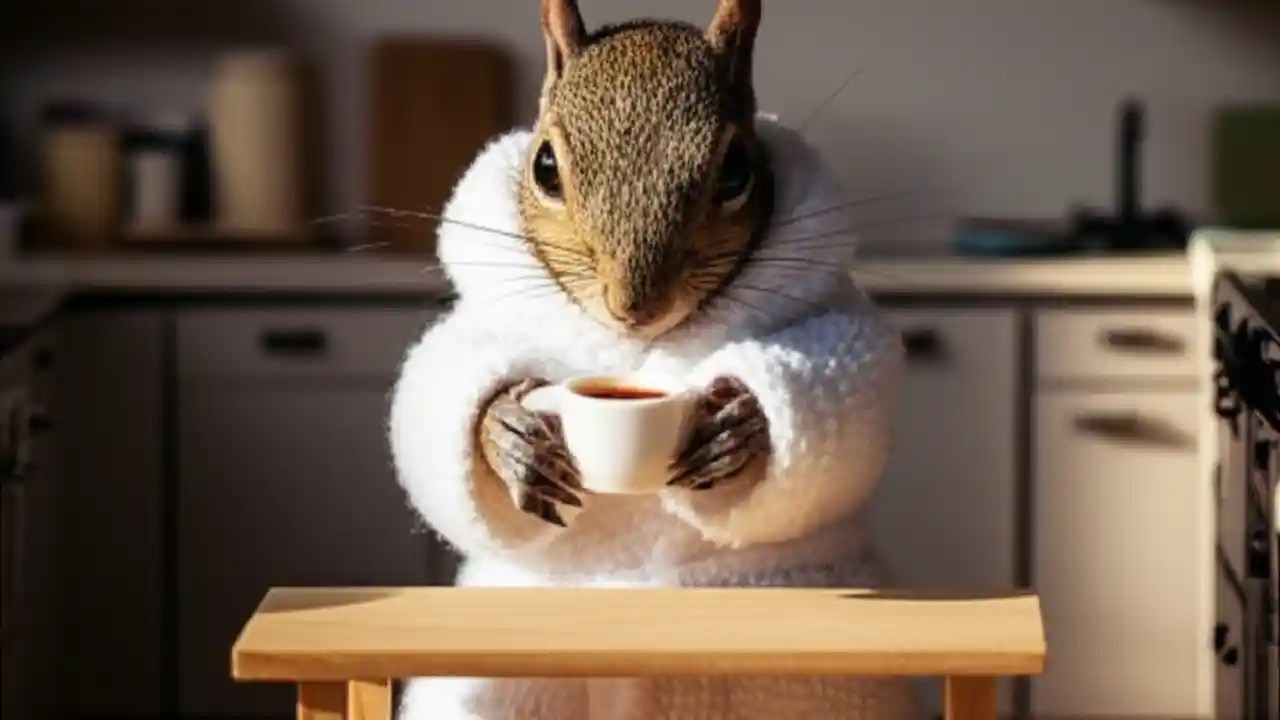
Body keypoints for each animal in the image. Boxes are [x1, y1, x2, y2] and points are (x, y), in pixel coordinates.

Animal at [388, 1, 920, 718]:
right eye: (546, 166)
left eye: (736, 170)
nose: (633, 306)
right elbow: (437, 382)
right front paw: (510, 436)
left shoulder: (834, 317)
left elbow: (855, 387)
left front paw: (740, 427)